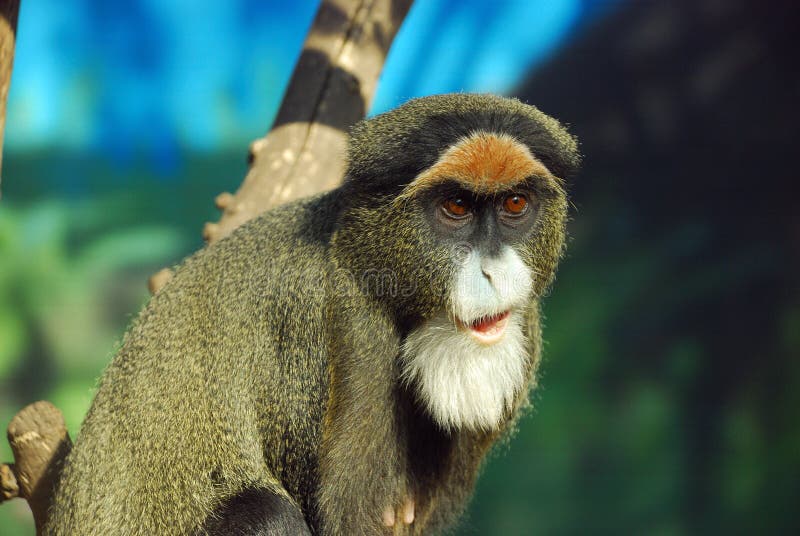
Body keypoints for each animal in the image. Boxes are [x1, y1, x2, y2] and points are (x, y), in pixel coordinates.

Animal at [45, 93, 580, 535]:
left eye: (515, 203)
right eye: (456, 206)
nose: (492, 272)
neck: (367, 256)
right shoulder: (339, 319)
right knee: (263, 514)